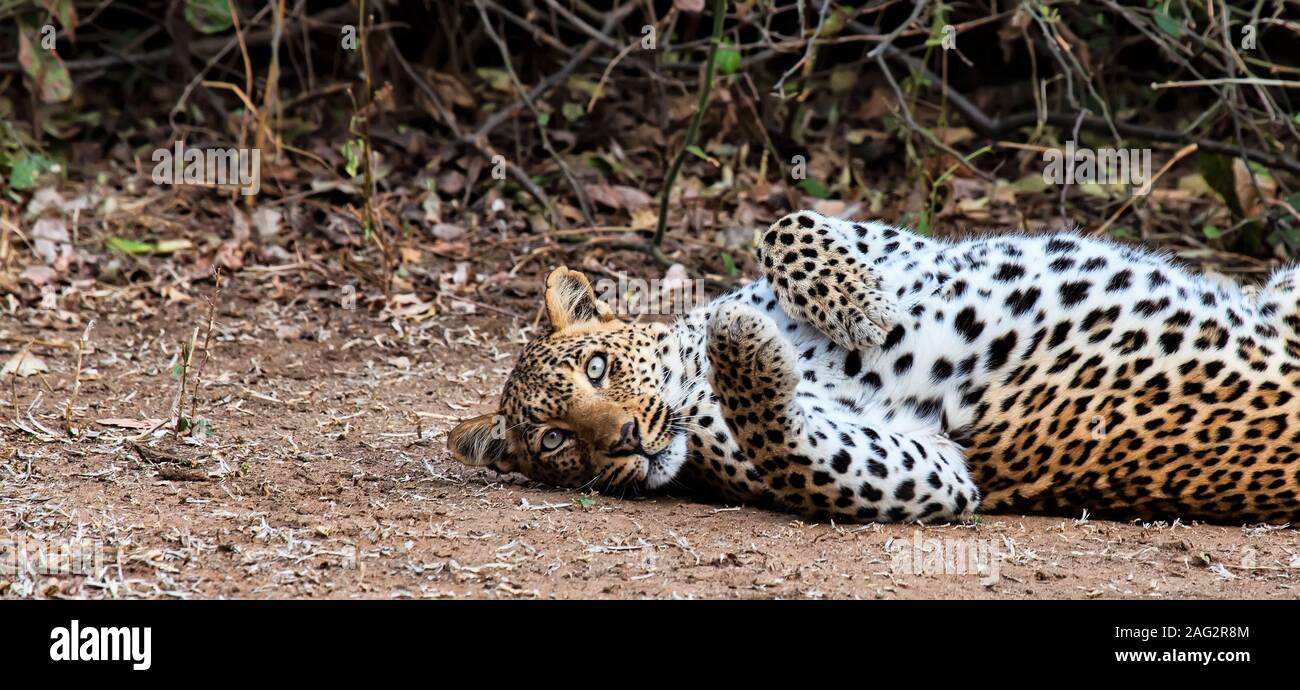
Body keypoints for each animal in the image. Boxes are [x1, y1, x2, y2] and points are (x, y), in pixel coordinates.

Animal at [449, 210, 1300, 524]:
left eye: (597, 366)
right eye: (554, 442)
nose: (624, 439)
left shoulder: (898, 244)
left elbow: (788, 223)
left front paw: (856, 305)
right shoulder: (929, 470)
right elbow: (788, 444)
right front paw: (746, 345)